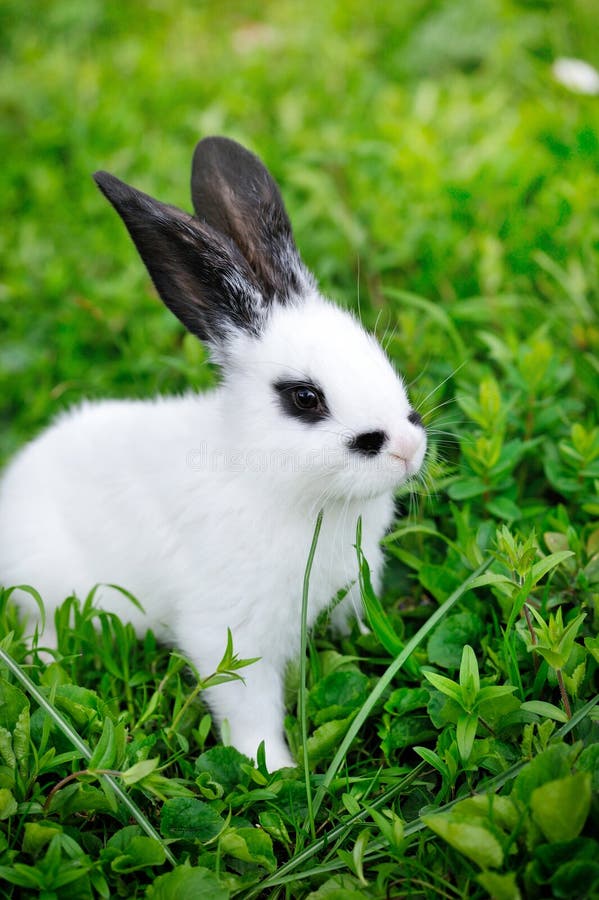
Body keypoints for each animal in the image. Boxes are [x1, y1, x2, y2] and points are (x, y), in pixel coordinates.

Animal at [0, 137, 427, 770]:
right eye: (305, 398)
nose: (407, 448)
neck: (266, 480)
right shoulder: (230, 632)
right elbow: (248, 708)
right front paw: (272, 768)